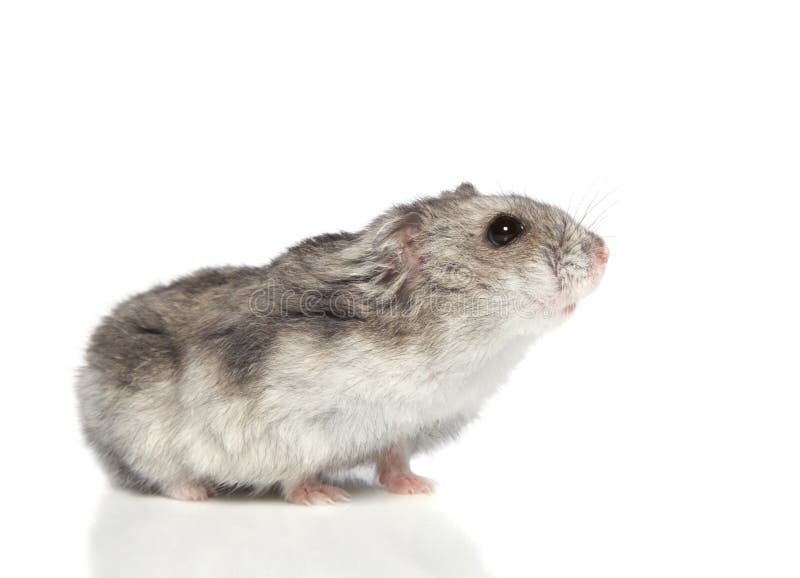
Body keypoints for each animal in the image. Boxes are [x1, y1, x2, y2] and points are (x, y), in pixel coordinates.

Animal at [76, 183, 609, 504]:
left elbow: (394, 458)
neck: (453, 342)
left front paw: (420, 487)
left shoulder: (405, 426)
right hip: (144, 435)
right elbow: (296, 472)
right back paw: (196, 493)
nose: (606, 251)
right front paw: (325, 498)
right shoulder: (288, 425)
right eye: (504, 230)